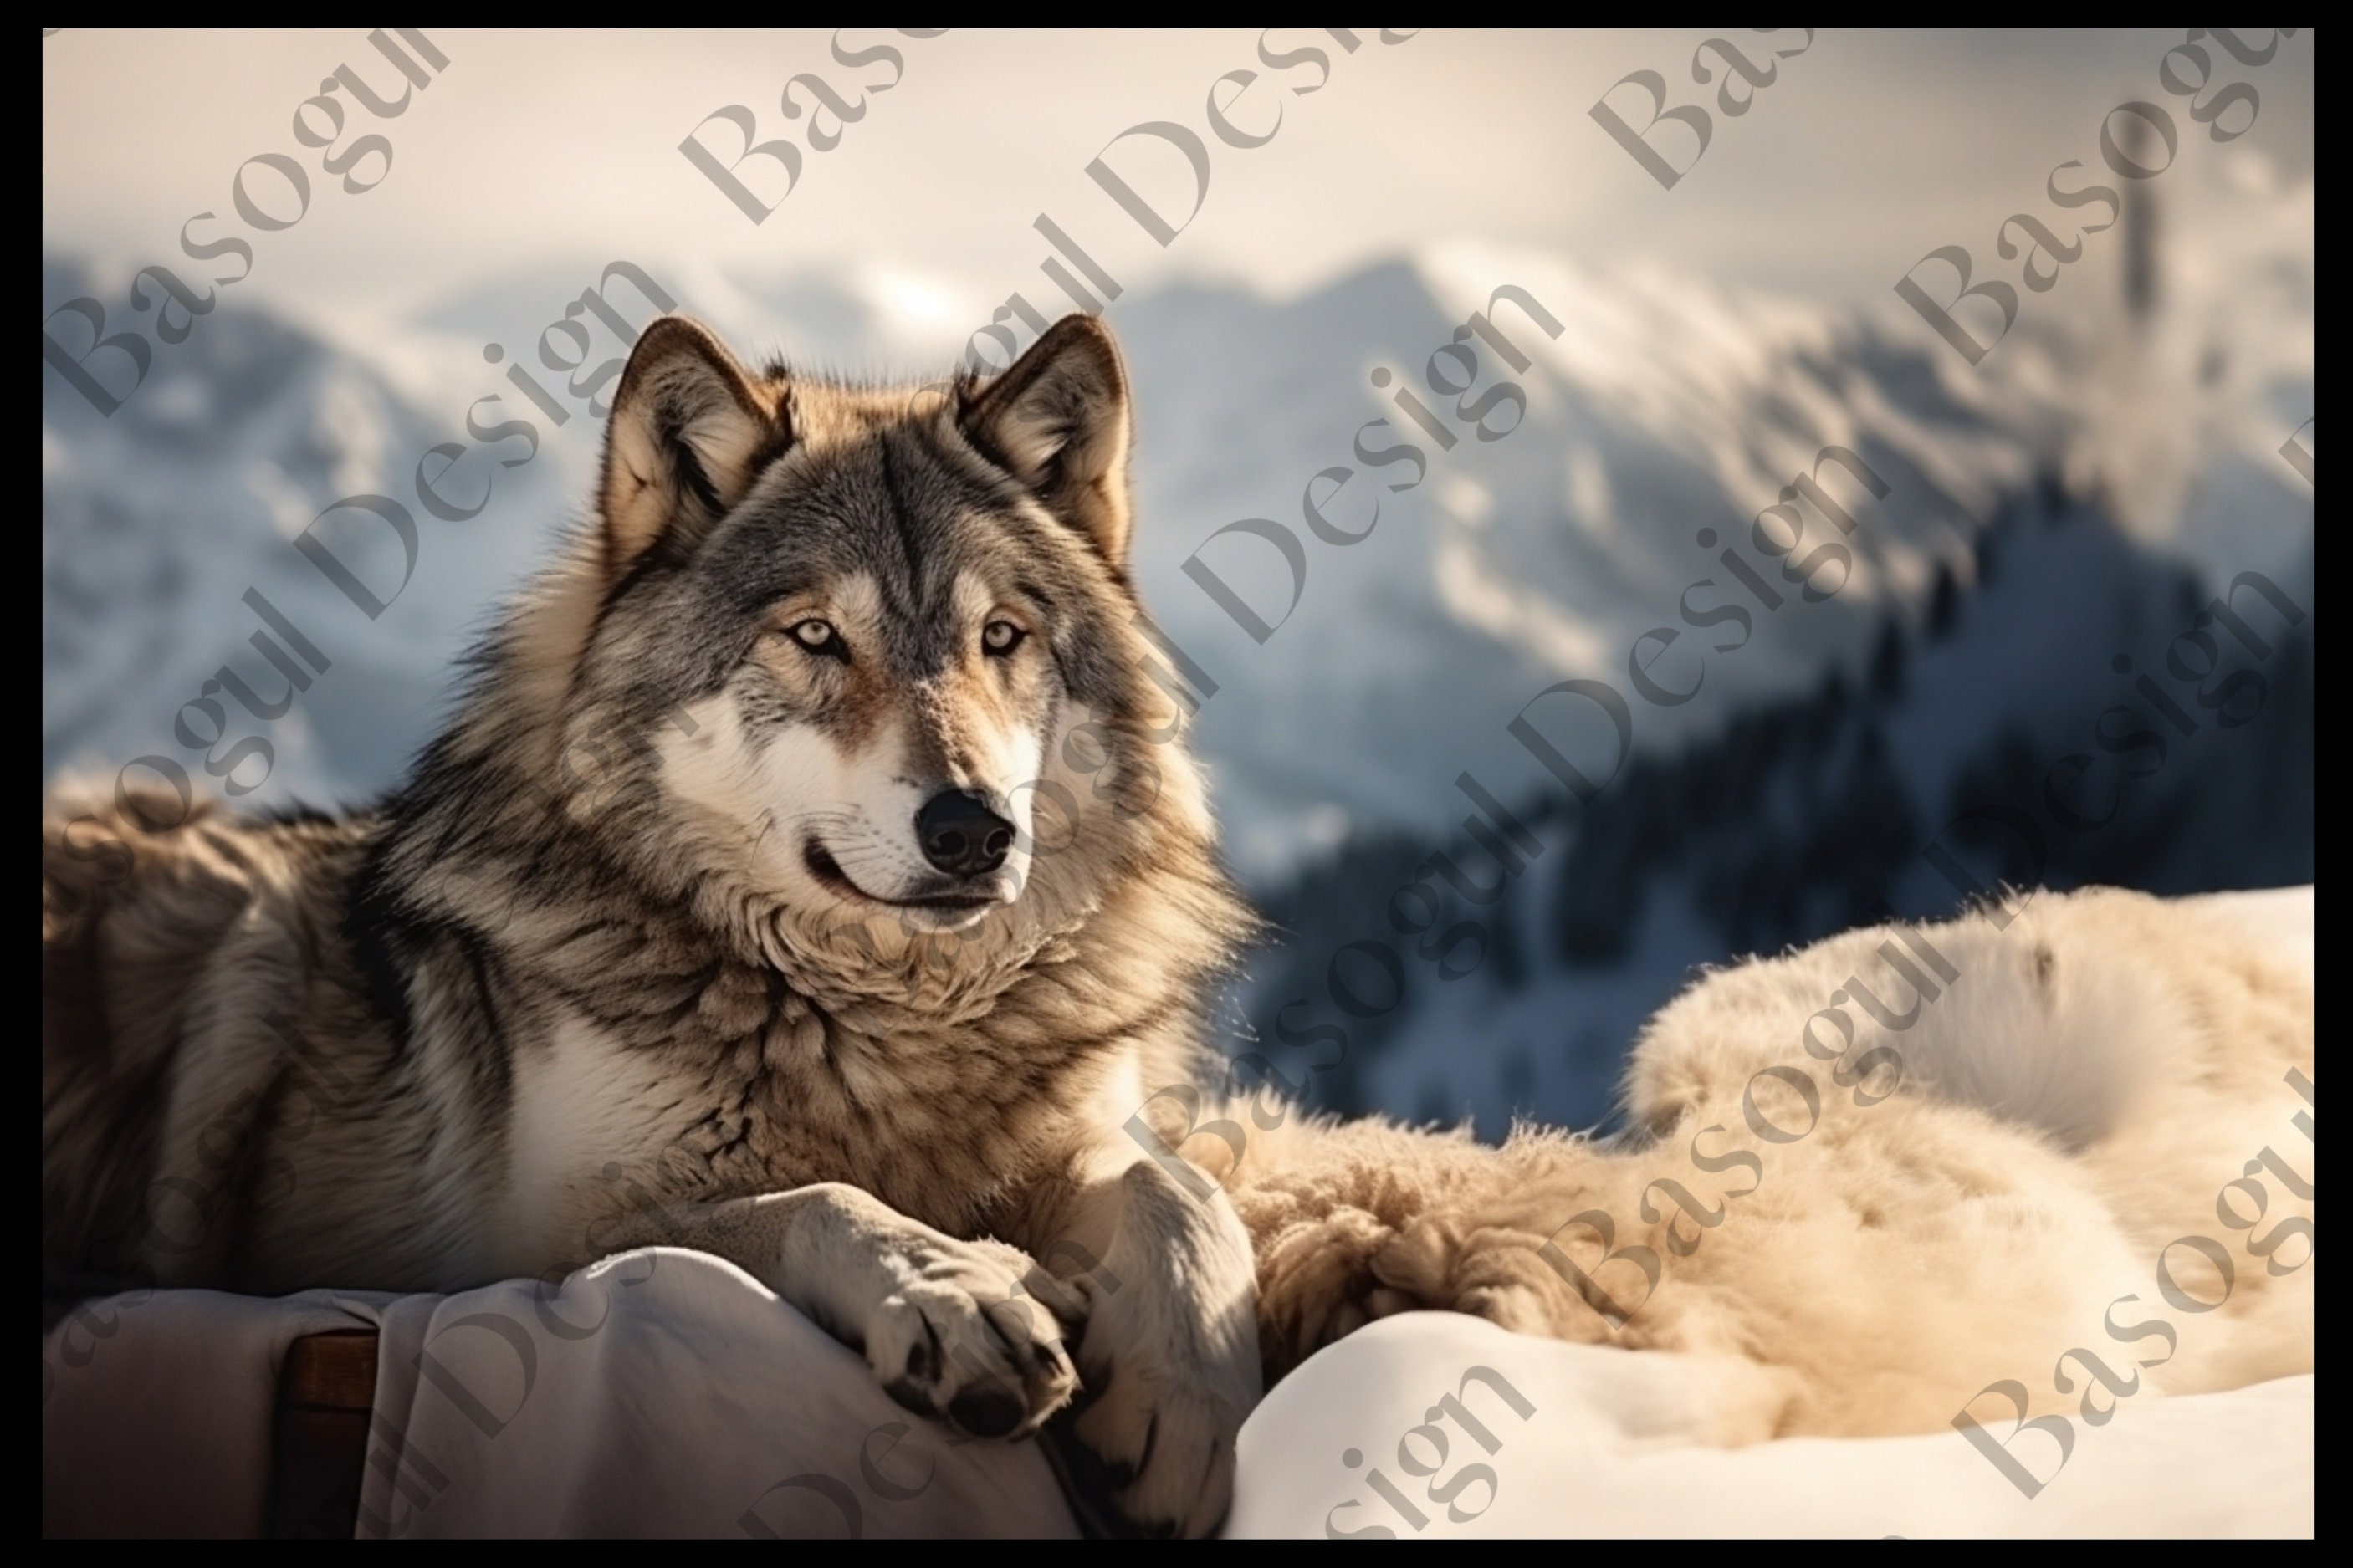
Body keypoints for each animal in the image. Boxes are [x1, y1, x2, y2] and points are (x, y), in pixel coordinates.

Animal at [44, 311, 2313, 1535]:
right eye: (814, 640)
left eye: (997, 639)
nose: (966, 823)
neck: (882, 1018)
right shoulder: (523, 1237)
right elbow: (789, 1205)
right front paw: (956, 1295)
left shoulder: (1097, 1137)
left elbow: (1181, 1204)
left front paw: (1195, 1407)